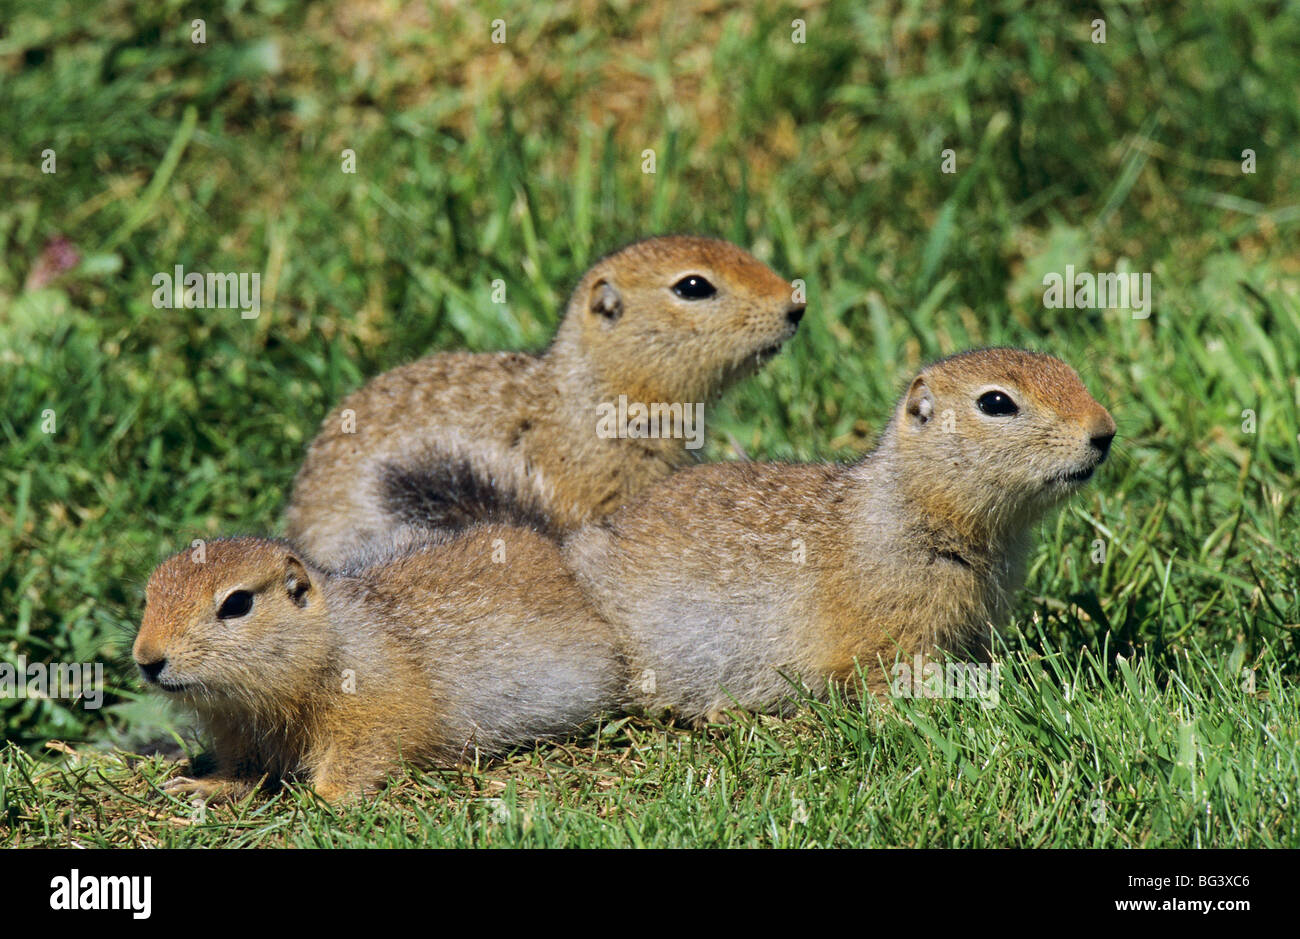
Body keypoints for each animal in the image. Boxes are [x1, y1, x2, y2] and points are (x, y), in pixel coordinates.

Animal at [132, 527, 625, 801]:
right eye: (148, 596)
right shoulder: (240, 732)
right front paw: (201, 786)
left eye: (237, 604)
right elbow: (243, 770)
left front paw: (322, 797)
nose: (146, 660)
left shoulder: (373, 705)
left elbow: (364, 753)